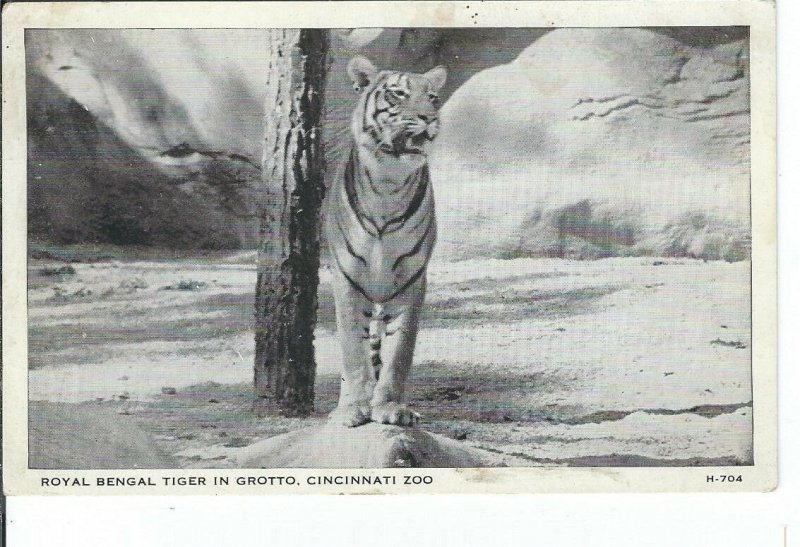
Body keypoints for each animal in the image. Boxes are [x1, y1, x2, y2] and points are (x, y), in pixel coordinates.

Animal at [324, 56, 447, 427]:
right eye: (398, 94)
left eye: (433, 97)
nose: (429, 118)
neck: (387, 185)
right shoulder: (346, 276)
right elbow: (352, 348)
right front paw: (354, 408)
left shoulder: (411, 278)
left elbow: (399, 353)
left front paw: (391, 407)